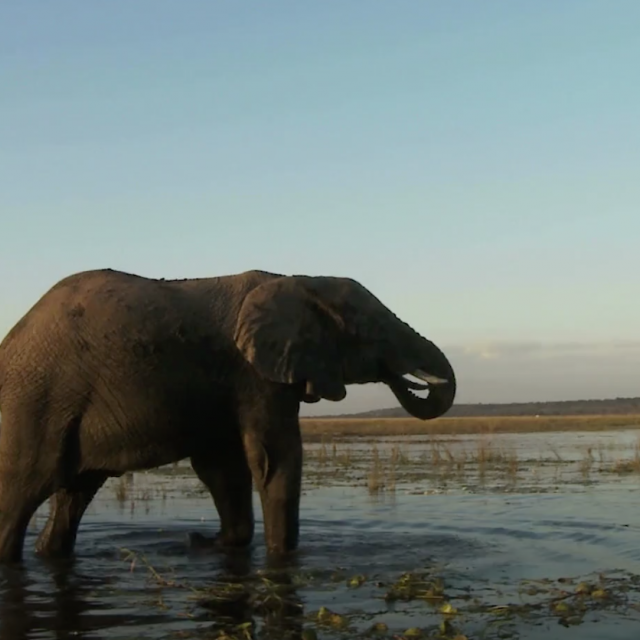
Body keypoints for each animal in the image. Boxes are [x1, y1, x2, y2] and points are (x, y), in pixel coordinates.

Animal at [0, 268, 456, 564]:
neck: (302, 279)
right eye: (372, 331)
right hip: (32, 405)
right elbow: (274, 458)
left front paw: (207, 544)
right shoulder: (254, 375)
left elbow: (224, 467)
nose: (410, 378)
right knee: (21, 492)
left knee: (74, 493)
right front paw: (282, 557)